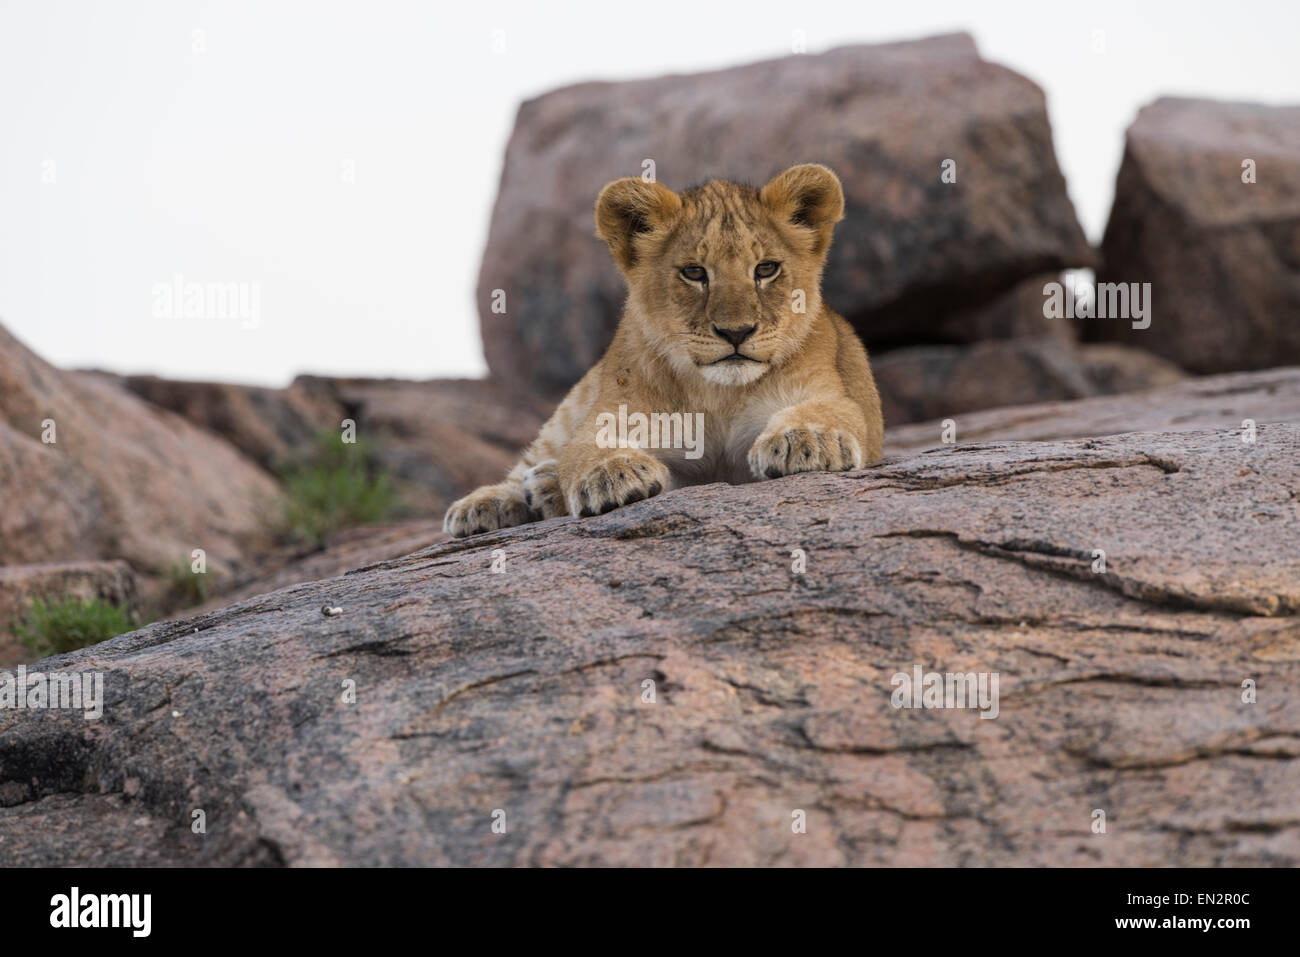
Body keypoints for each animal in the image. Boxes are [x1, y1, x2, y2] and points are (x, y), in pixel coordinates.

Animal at [444, 163, 884, 537]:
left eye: (765, 269)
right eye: (694, 272)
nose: (736, 332)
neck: (719, 394)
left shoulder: (829, 392)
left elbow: (829, 412)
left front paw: (806, 440)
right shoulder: (611, 412)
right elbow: (587, 447)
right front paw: (614, 473)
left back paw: (545, 487)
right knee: (538, 454)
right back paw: (491, 502)